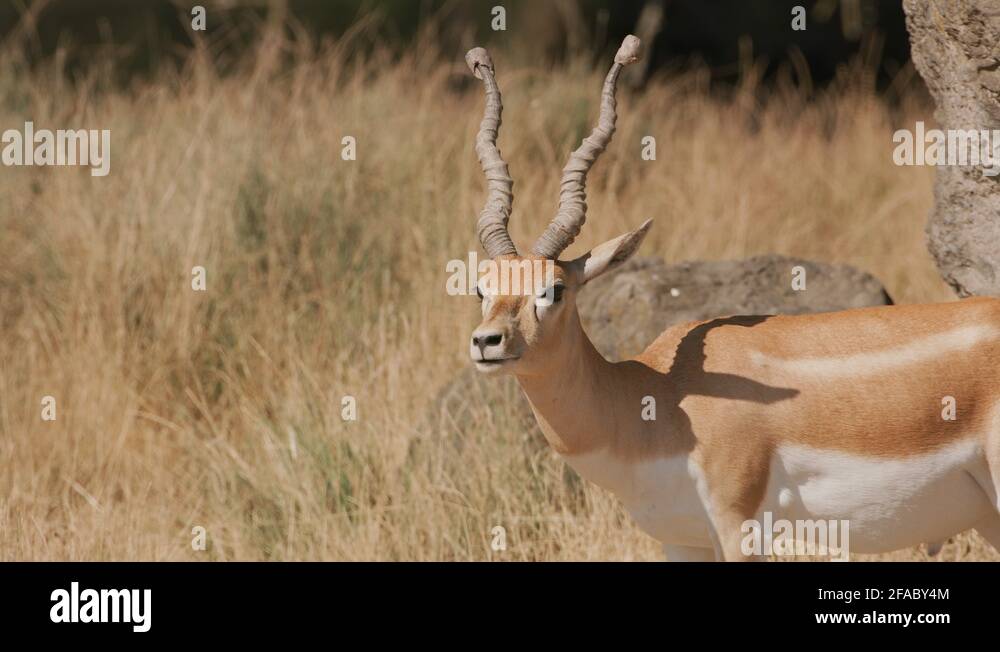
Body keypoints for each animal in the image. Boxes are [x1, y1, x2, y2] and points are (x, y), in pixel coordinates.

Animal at [463, 35, 1000, 561]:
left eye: (553, 289)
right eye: (481, 286)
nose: (487, 342)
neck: (656, 399)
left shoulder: (739, 526)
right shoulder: (682, 539)